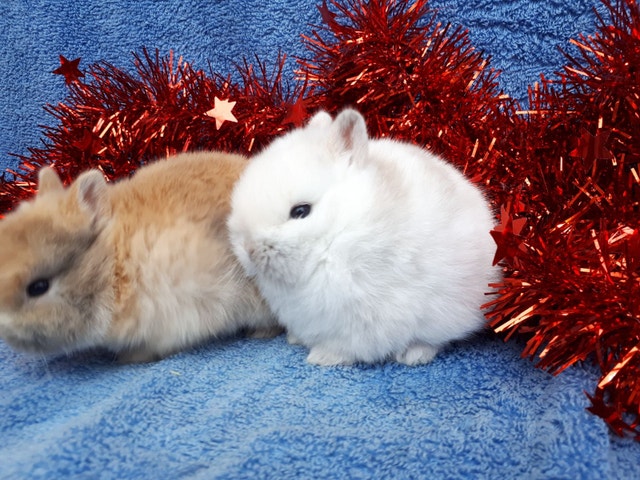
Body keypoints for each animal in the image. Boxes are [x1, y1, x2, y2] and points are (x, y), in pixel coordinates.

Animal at [227, 109, 501, 366]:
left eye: (301, 211)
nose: (249, 250)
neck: (336, 233)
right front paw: (296, 339)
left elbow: (349, 345)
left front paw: (322, 357)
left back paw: (414, 354)